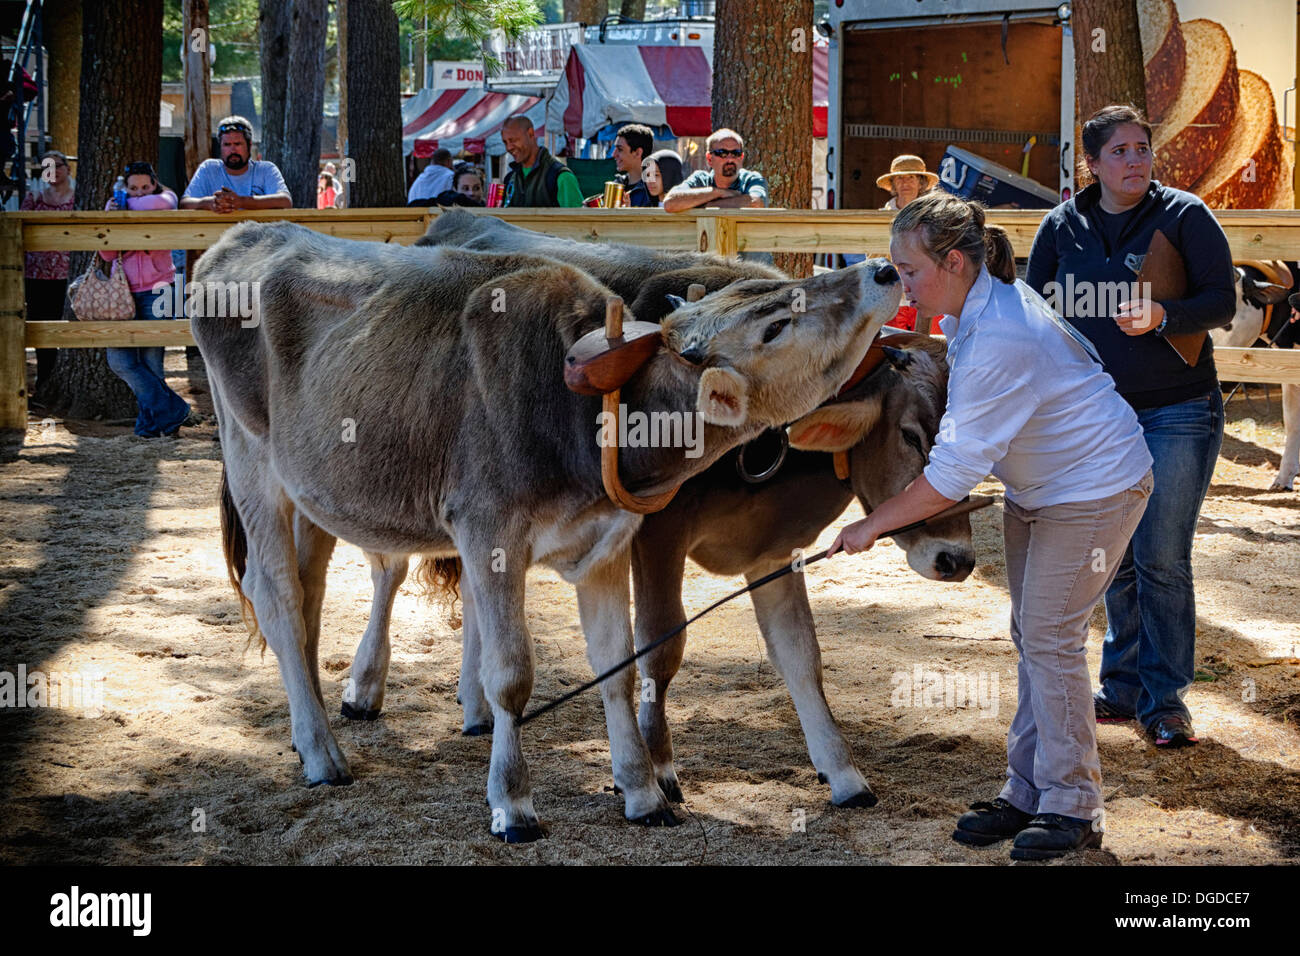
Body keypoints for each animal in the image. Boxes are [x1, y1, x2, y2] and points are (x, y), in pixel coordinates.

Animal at [191, 219, 901, 841]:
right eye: (777, 325)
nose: (882, 268)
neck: (588, 407)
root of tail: (248, 235)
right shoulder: (492, 532)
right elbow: (512, 675)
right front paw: (513, 805)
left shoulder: (608, 544)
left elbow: (619, 665)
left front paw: (642, 793)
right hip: (251, 458)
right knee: (277, 594)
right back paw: (321, 751)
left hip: (315, 485)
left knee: (311, 592)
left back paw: (309, 721)